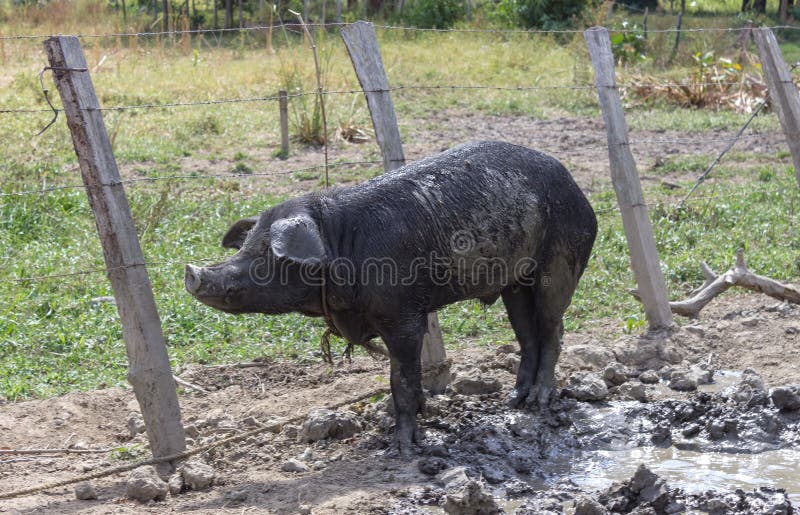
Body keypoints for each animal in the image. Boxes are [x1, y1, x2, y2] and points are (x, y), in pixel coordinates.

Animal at [185, 141, 597, 454]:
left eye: (265, 255)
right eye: (246, 246)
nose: (190, 273)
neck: (339, 246)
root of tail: (578, 189)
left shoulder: (403, 316)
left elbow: (401, 377)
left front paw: (401, 447)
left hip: (561, 258)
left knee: (552, 330)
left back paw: (540, 401)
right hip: (515, 282)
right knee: (526, 334)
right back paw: (513, 400)